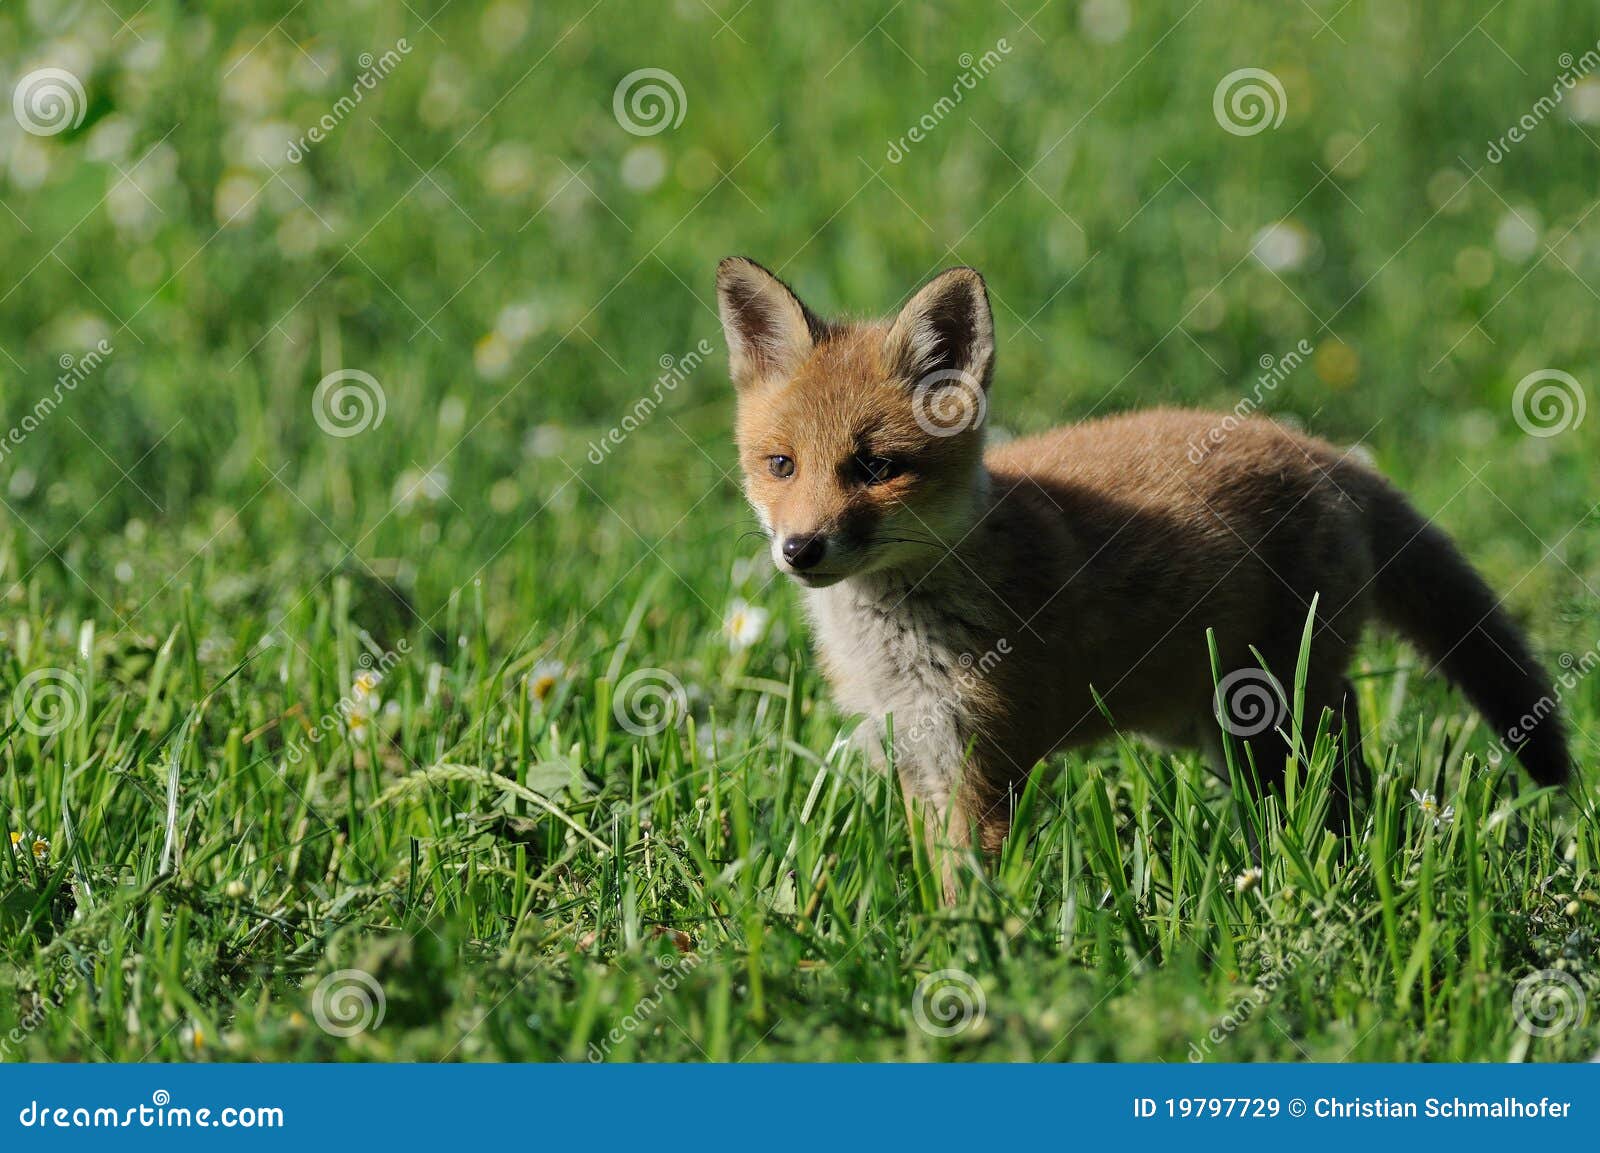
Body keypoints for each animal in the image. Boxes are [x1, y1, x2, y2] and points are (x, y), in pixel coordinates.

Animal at [715, 256, 1572, 873]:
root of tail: (1319, 448)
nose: (800, 549)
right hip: (1215, 724)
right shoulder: (916, 751)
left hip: (1278, 707)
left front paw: (975, 953)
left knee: (1345, 773)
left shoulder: (988, 757)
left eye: (875, 468)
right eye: (782, 464)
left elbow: (976, 883)